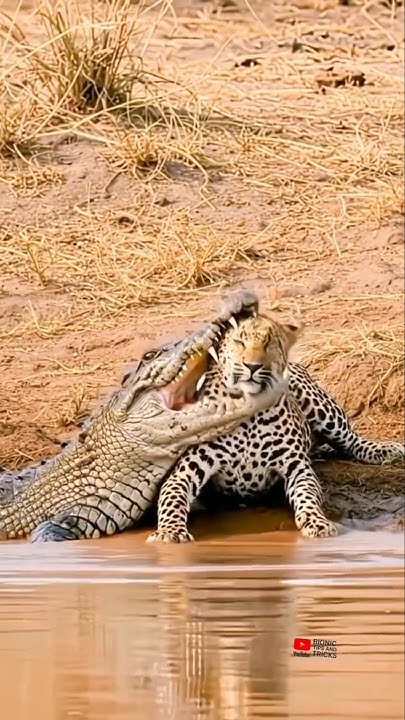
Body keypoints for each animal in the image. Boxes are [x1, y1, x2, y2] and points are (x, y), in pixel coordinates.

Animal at [146, 313, 404, 543]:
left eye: (269, 343)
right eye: (239, 341)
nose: (252, 365)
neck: (249, 417)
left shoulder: (296, 467)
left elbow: (308, 496)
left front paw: (317, 522)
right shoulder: (186, 470)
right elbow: (172, 499)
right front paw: (170, 532)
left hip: (319, 406)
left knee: (350, 438)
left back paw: (385, 450)